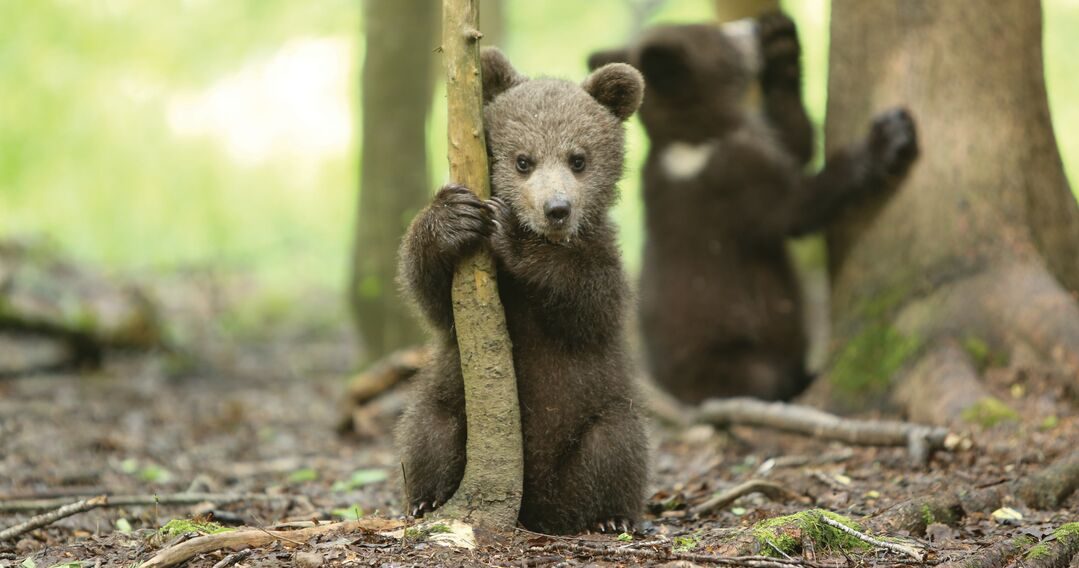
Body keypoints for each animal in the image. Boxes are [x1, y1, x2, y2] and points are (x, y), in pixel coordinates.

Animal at [395, 47, 649, 535]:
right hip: (450, 399)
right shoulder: (461, 303)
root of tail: (536, 508)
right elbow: (432, 296)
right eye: (523, 160)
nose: (557, 209)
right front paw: (453, 216)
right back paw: (426, 500)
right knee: (428, 429)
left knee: (616, 445)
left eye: (578, 159)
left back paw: (609, 517)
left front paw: (511, 234)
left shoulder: (604, 263)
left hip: (599, 411)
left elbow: (587, 303)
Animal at [588, 13, 919, 404]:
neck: (696, 138)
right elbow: (795, 208)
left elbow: (795, 142)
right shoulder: (732, 181)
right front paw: (890, 136)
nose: (751, 26)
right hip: (731, 356)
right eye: (719, 36)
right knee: (762, 378)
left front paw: (781, 41)